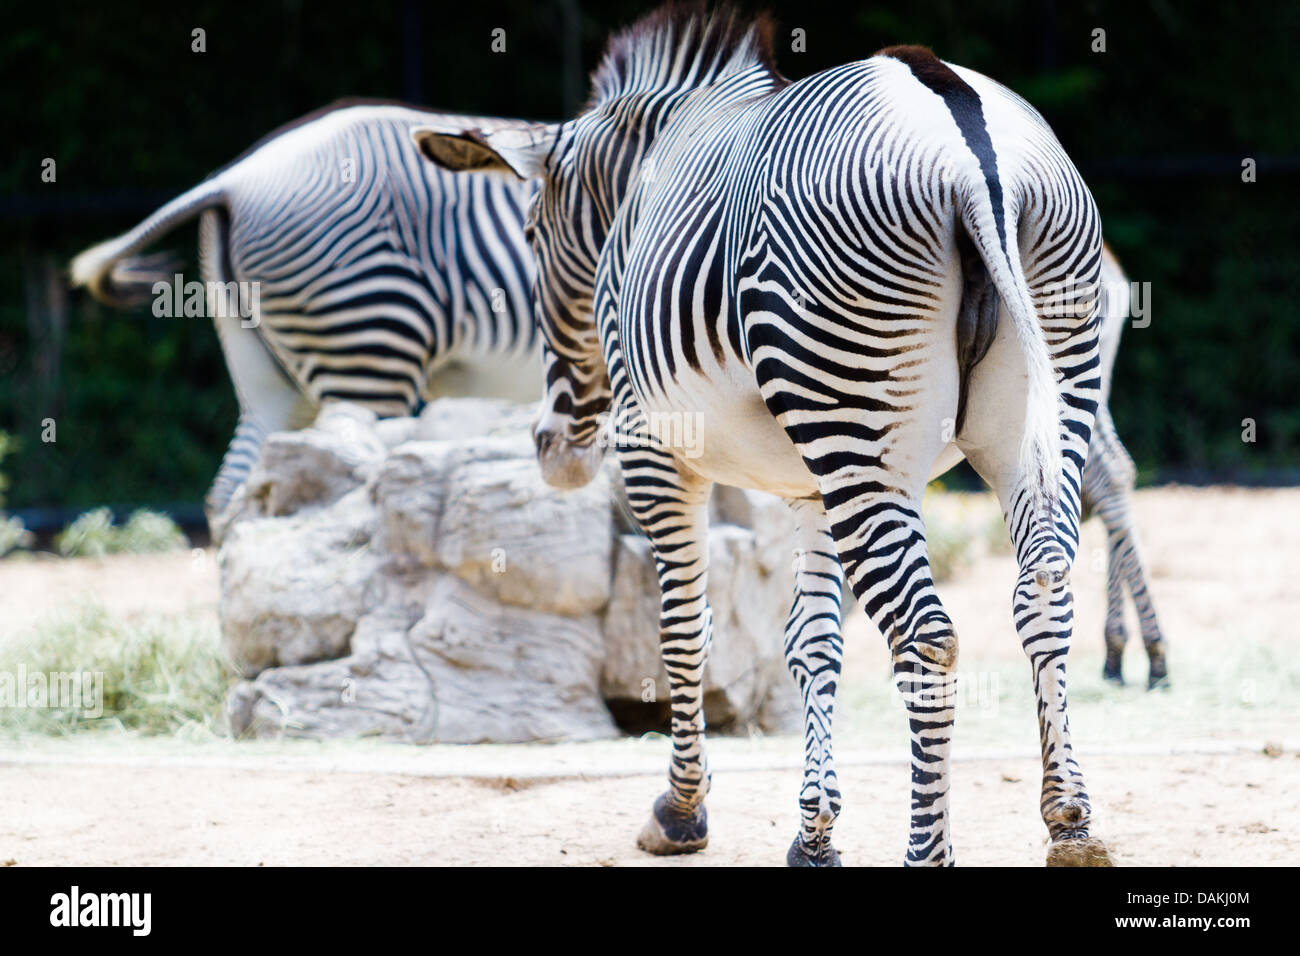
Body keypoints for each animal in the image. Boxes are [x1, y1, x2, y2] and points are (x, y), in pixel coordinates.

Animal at [415, 4, 1115, 866]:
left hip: (856, 429)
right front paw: (813, 835)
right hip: (1032, 414)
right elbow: (812, 643)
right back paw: (1072, 823)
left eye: (534, 235)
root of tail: (966, 145)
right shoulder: (812, 489)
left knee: (927, 636)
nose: (553, 451)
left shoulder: (656, 450)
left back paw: (929, 850)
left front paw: (682, 814)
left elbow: (685, 629)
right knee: (1044, 599)